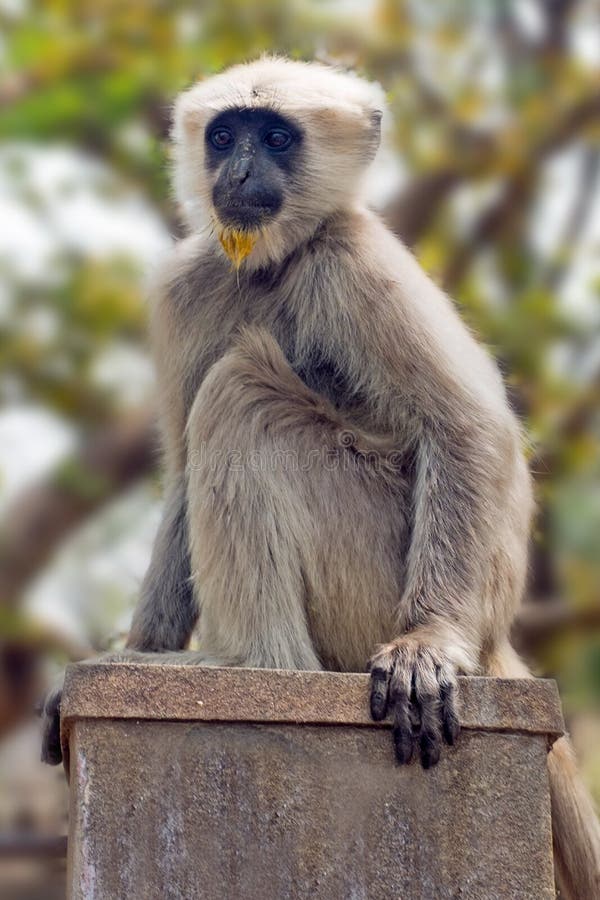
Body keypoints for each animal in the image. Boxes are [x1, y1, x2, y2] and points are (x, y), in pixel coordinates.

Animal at [41, 57, 600, 898]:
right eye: (226, 136)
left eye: (276, 138)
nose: (240, 170)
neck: (275, 265)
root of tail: (497, 632)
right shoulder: (187, 285)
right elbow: (180, 479)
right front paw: (138, 646)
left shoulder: (352, 256)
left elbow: (470, 429)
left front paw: (430, 642)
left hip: (374, 568)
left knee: (240, 396)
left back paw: (254, 666)